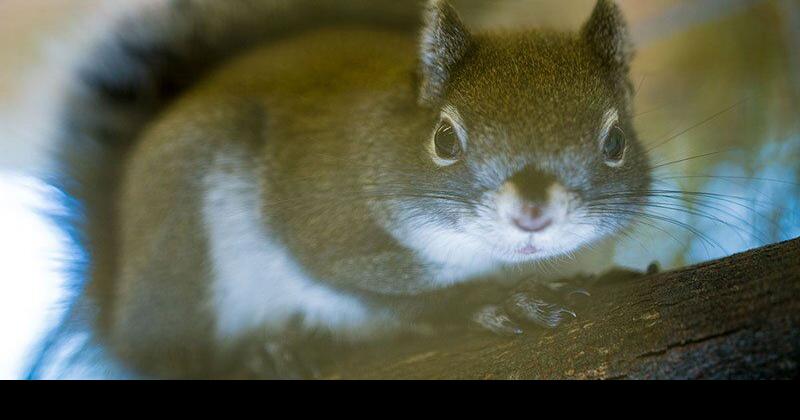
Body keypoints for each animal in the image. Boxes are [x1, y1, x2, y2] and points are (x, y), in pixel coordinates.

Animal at [28, 0, 651, 379]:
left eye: (616, 140)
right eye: (445, 138)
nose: (532, 213)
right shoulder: (325, 224)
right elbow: (383, 291)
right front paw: (490, 301)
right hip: (183, 243)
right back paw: (262, 353)